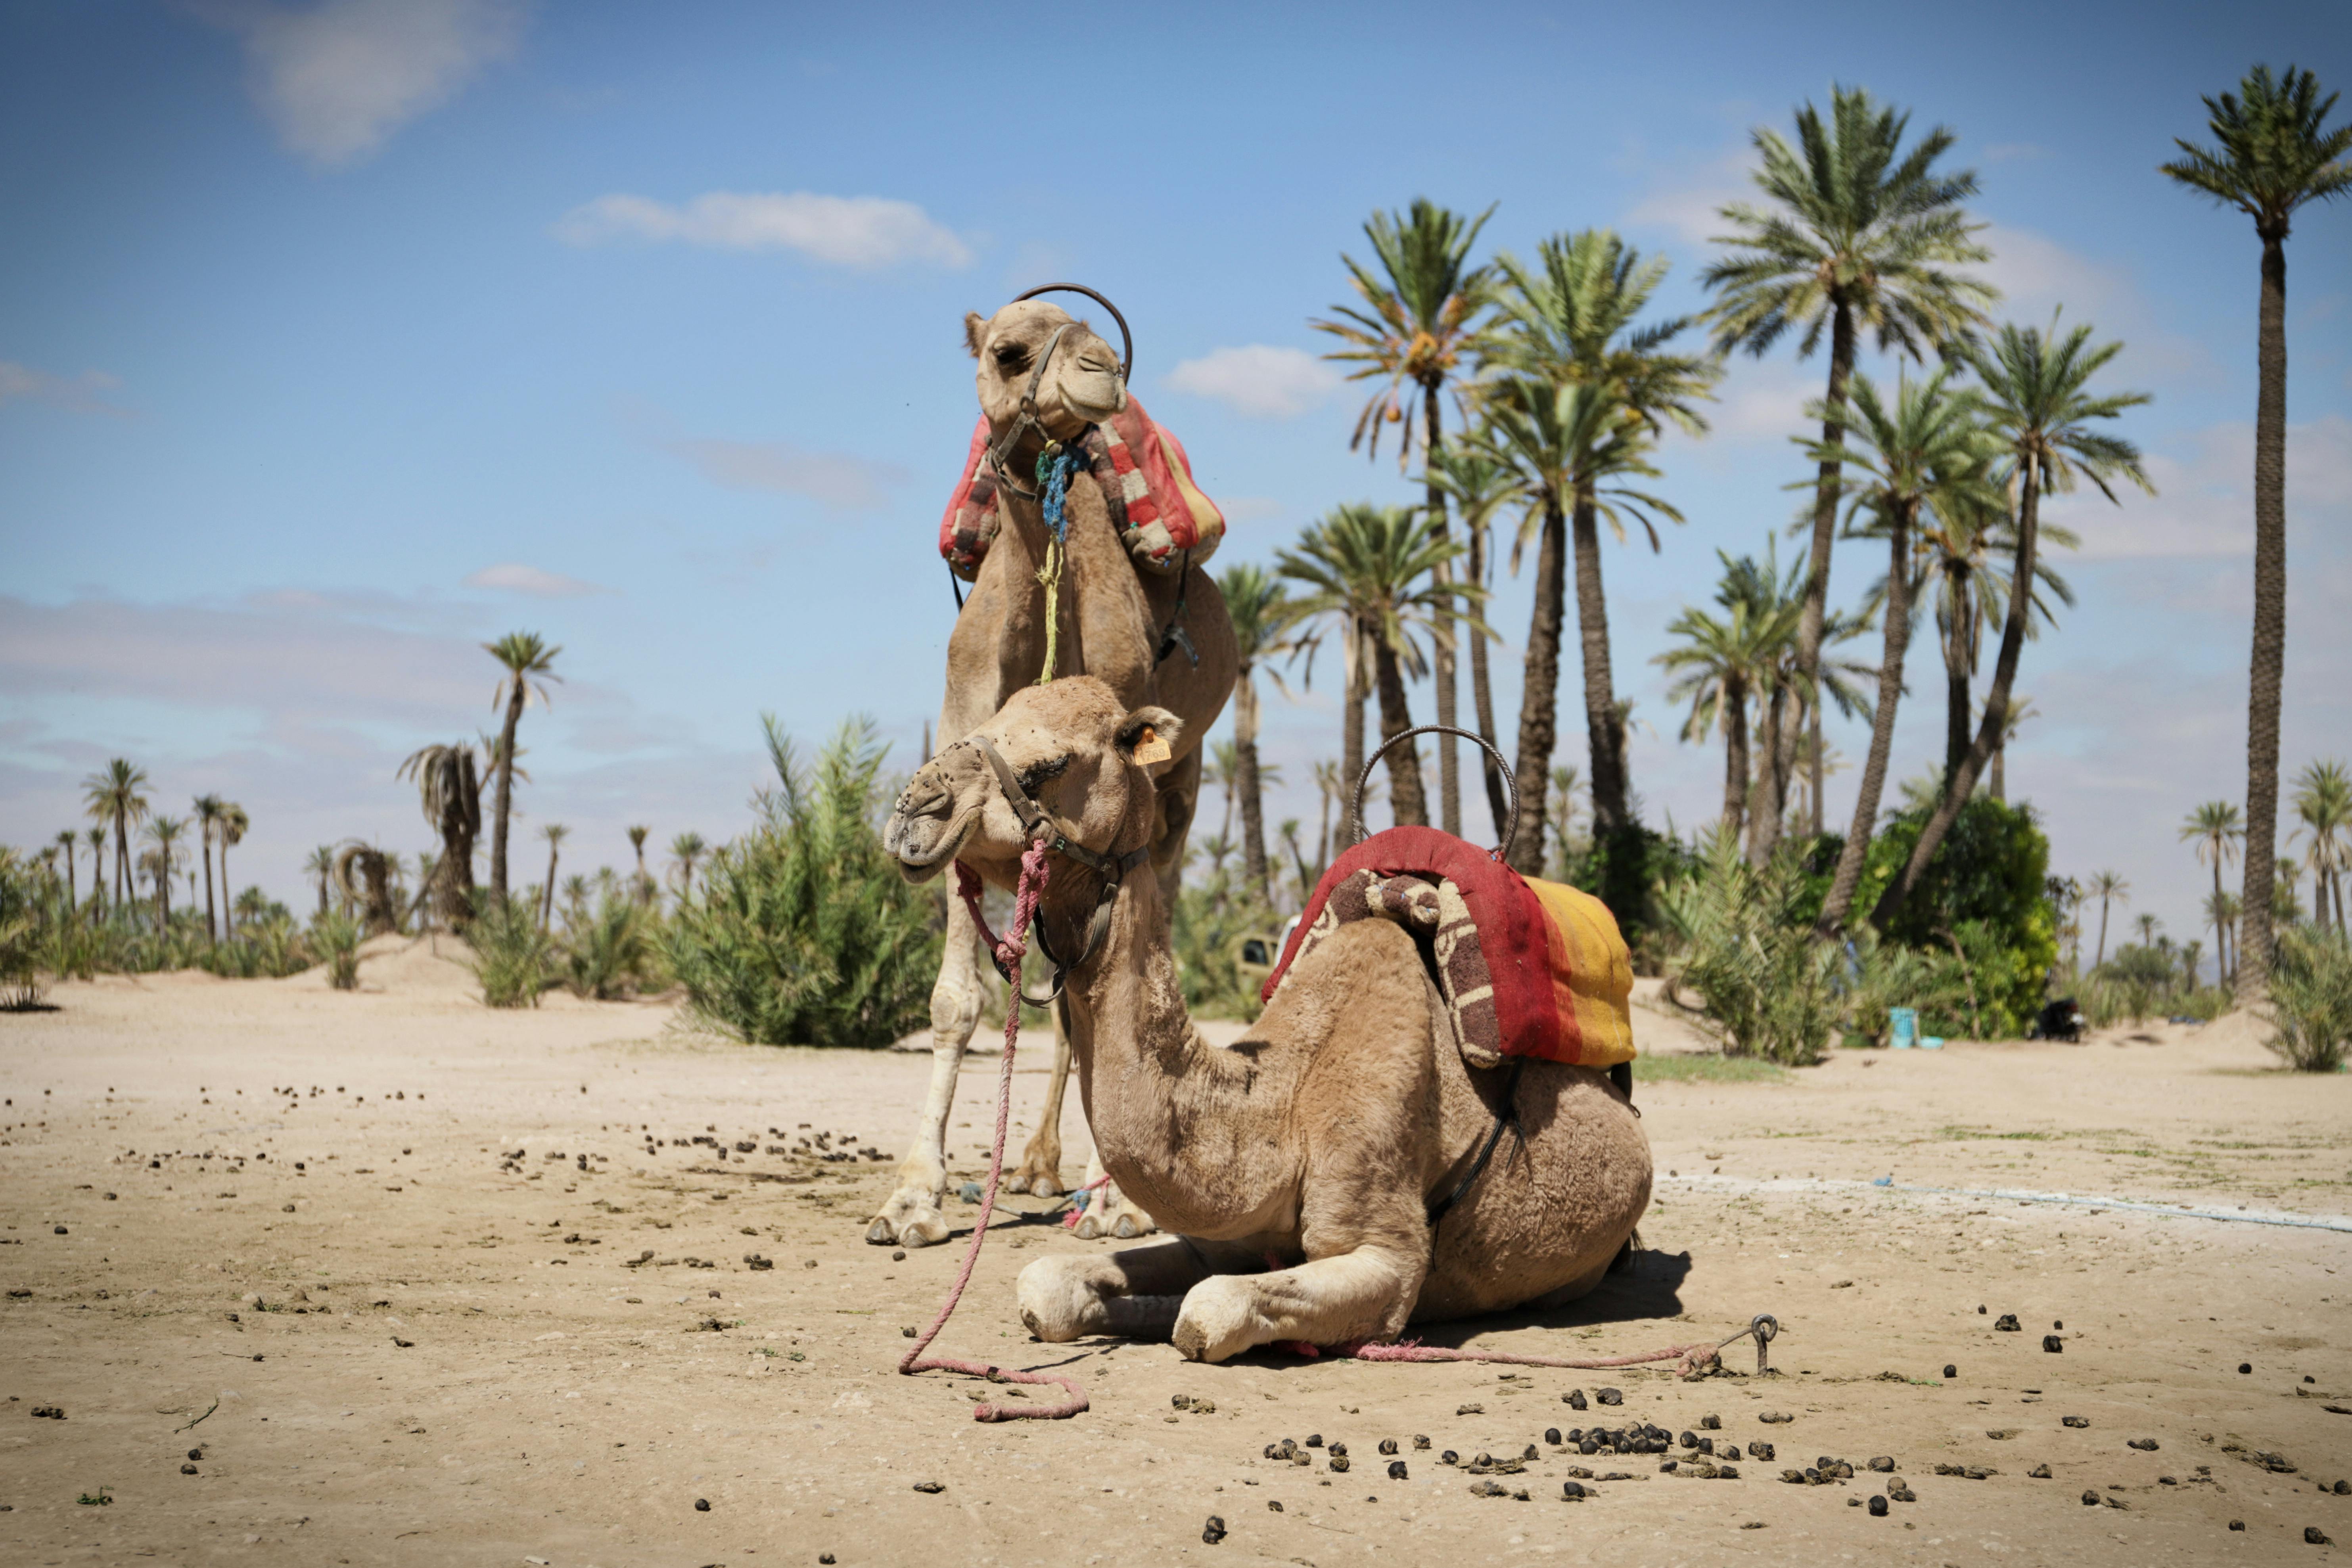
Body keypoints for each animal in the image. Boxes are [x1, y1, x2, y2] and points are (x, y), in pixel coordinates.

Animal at [864, 300, 1237, 1250]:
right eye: (1008, 350)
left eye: (1091, 333)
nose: (1104, 370)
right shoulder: (965, 815)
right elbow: (954, 1001)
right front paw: (912, 1200)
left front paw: (1117, 1202)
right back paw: (1034, 1166)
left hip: (1181, 798)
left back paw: (1088, 1185)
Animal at [883, 678, 1651, 1360]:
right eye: (989, 718)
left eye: (1050, 763)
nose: (912, 809)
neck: (1272, 1114)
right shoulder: (1211, 1237)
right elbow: (1047, 1284)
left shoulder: (1387, 1250)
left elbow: (1208, 1310)